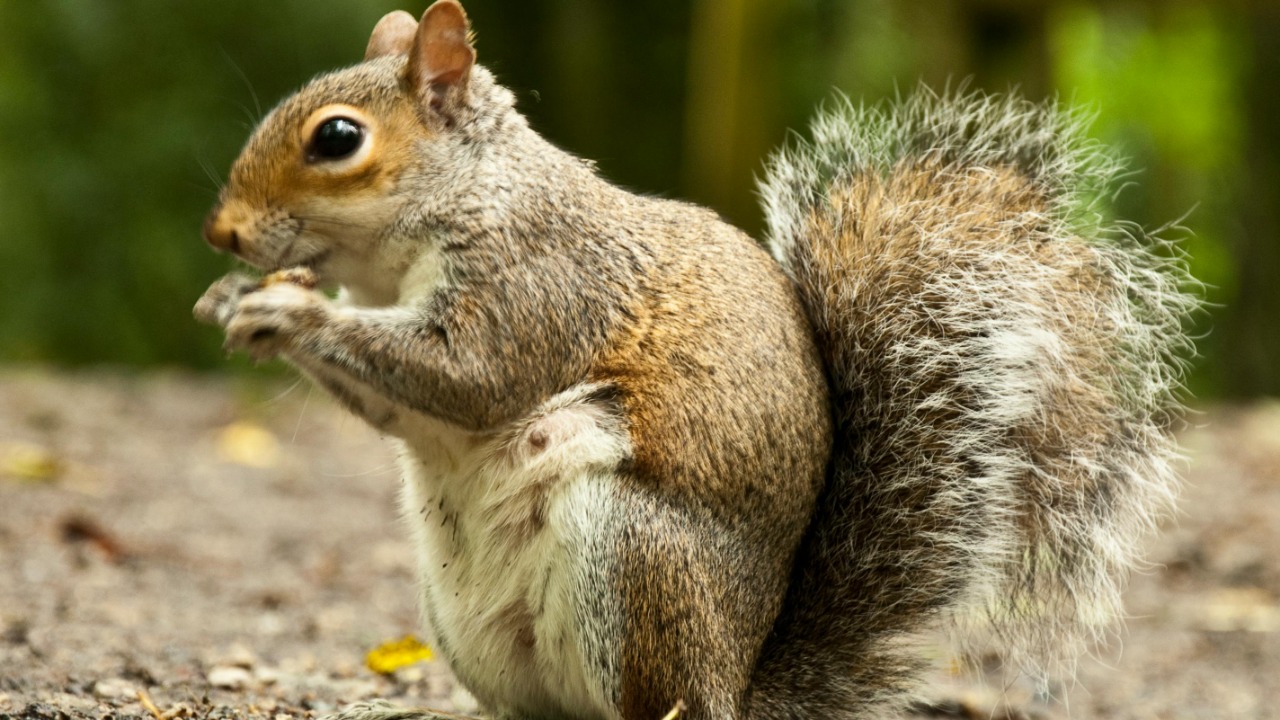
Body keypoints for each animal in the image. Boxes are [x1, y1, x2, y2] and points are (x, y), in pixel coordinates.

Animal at [194, 2, 1197, 719]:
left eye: (337, 139)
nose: (221, 233)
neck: (469, 198)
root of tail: (734, 682)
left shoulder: (543, 283)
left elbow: (470, 379)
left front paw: (284, 308)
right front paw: (231, 302)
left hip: (633, 556)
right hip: (468, 622)